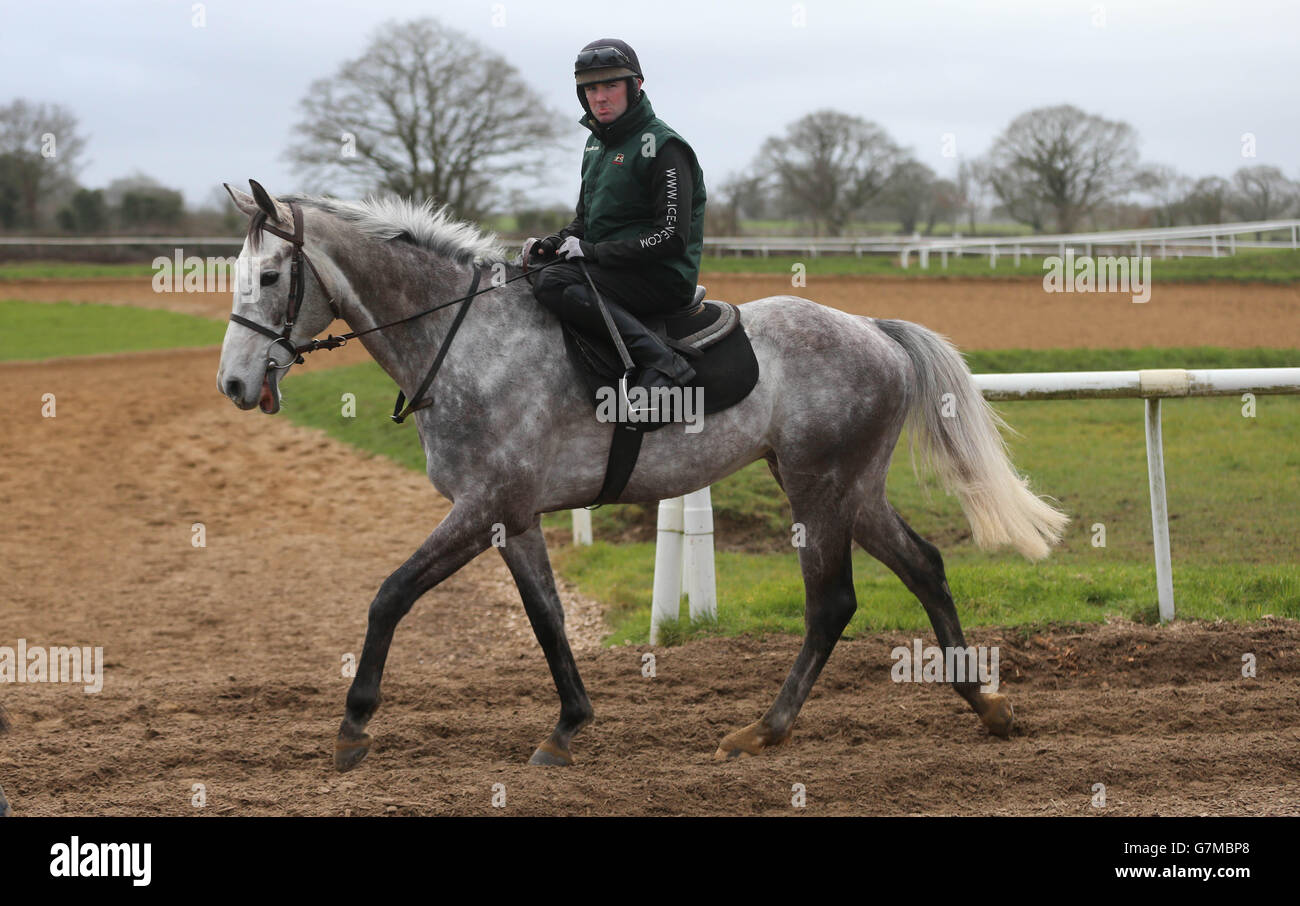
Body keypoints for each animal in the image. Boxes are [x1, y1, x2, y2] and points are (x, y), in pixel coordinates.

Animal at [217, 180, 1068, 772]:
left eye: (270, 277)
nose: (231, 385)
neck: (465, 343)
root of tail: (874, 332)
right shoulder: (512, 517)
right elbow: (548, 619)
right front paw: (568, 727)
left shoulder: (481, 507)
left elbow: (390, 595)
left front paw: (353, 725)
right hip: (849, 491)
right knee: (924, 565)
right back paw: (983, 703)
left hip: (819, 491)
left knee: (832, 605)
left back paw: (765, 730)